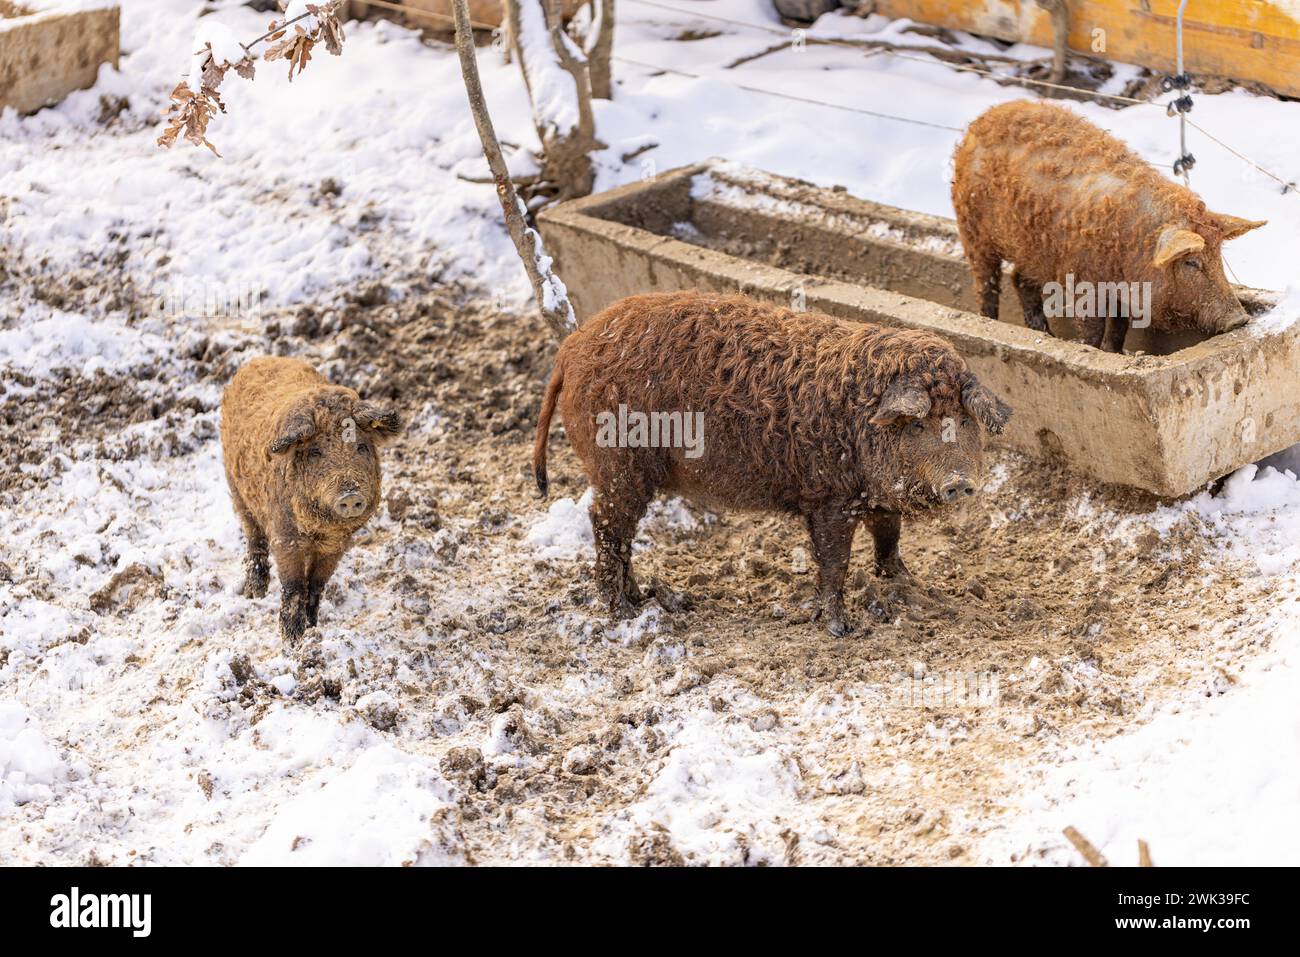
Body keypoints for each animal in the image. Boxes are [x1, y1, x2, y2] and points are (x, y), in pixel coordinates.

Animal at [220, 356, 403, 643]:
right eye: (316, 451)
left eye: (361, 446)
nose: (350, 495)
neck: (319, 529)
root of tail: (259, 360)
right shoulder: (284, 535)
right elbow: (293, 585)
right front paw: (292, 641)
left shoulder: (338, 543)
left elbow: (317, 583)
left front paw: (313, 628)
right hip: (236, 489)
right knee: (253, 538)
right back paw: (254, 594)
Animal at [531, 291, 1012, 636]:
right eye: (917, 424)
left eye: (963, 419)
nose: (959, 482)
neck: (859, 420)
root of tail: (571, 347)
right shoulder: (829, 499)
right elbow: (834, 561)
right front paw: (842, 629)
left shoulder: (876, 497)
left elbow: (889, 538)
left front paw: (911, 586)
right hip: (618, 467)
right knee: (606, 526)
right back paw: (624, 613)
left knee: (621, 535)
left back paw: (648, 599)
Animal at [952, 100, 1265, 352]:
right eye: (1190, 261)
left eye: (1217, 256)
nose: (1239, 319)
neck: (1133, 245)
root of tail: (981, 120)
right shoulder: (1083, 283)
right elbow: (1093, 328)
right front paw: (1091, 350)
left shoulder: (1122, 295)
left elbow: (1119, 329)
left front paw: (1114, 352)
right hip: (973, 233)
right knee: (987, 286)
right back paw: (990, 321)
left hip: (1032, 250)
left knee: (1019, 279)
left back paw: (1046, 334)